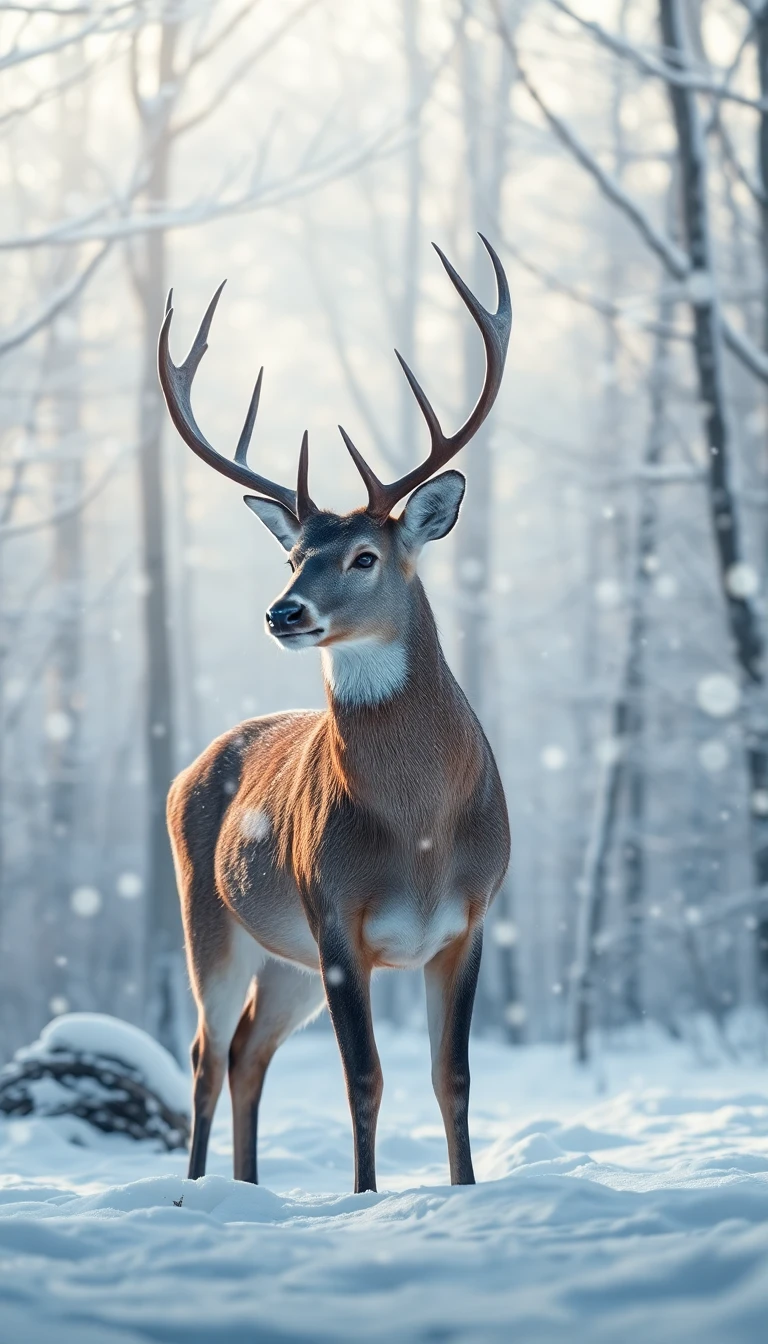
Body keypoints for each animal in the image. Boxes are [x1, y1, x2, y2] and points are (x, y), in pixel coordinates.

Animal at [158, 236, 511, 1194]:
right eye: (292, 555)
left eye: (363, 555)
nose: (284, 612)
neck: (420, 832)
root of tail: (190, 766)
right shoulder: (335, 913)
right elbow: (366, 1078)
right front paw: (363, 1198)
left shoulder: (472, 917)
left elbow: (453, 1076)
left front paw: (466, 1192)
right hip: (211, 918)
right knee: (203, 1053)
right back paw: (197, 1191)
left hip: (285, 960)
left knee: (247, 1051)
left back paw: (246, 1189)